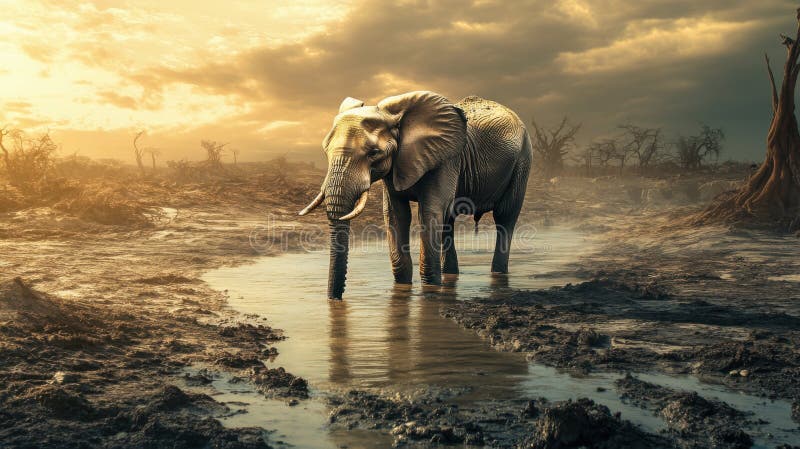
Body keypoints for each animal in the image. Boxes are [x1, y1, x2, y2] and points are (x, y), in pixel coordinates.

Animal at [299, 91, 532, 300]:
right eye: (325, 151)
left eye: (374, 153)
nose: (335, 300)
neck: (395, 117)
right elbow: (396, 215)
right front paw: (403, 289)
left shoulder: (444, 160)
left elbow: (429, 212)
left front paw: (430, 291)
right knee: (448, 221)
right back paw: (451, 275)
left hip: (523, 159)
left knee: (505, 216)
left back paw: (497, 275)